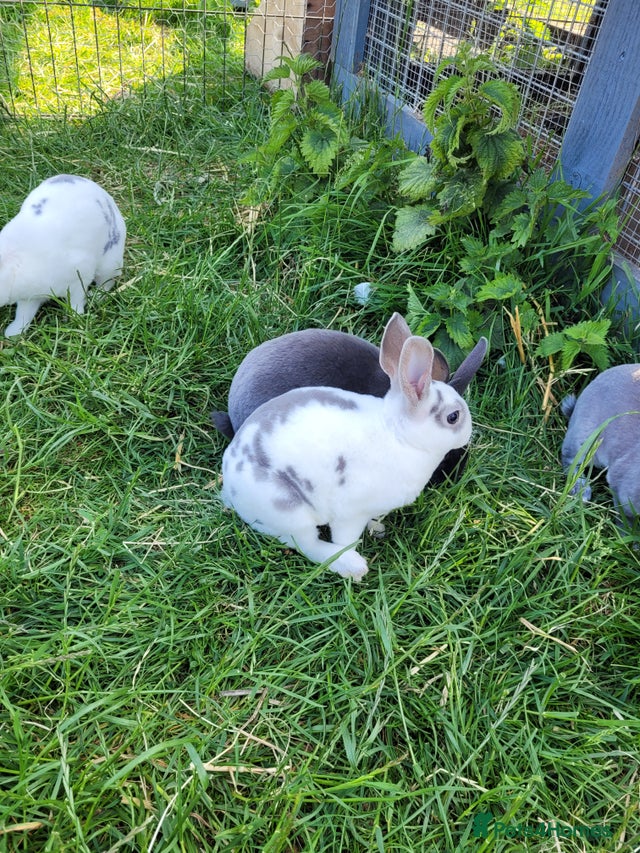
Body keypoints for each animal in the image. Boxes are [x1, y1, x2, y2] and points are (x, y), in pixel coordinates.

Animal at [0, 174, 126, 336]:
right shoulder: (29, 298)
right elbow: (23, 314)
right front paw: (13, 333)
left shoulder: (79, 278)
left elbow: (76, 301)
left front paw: (77, 320)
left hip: (109, 263)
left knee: (106, 283)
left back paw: (95, 297)